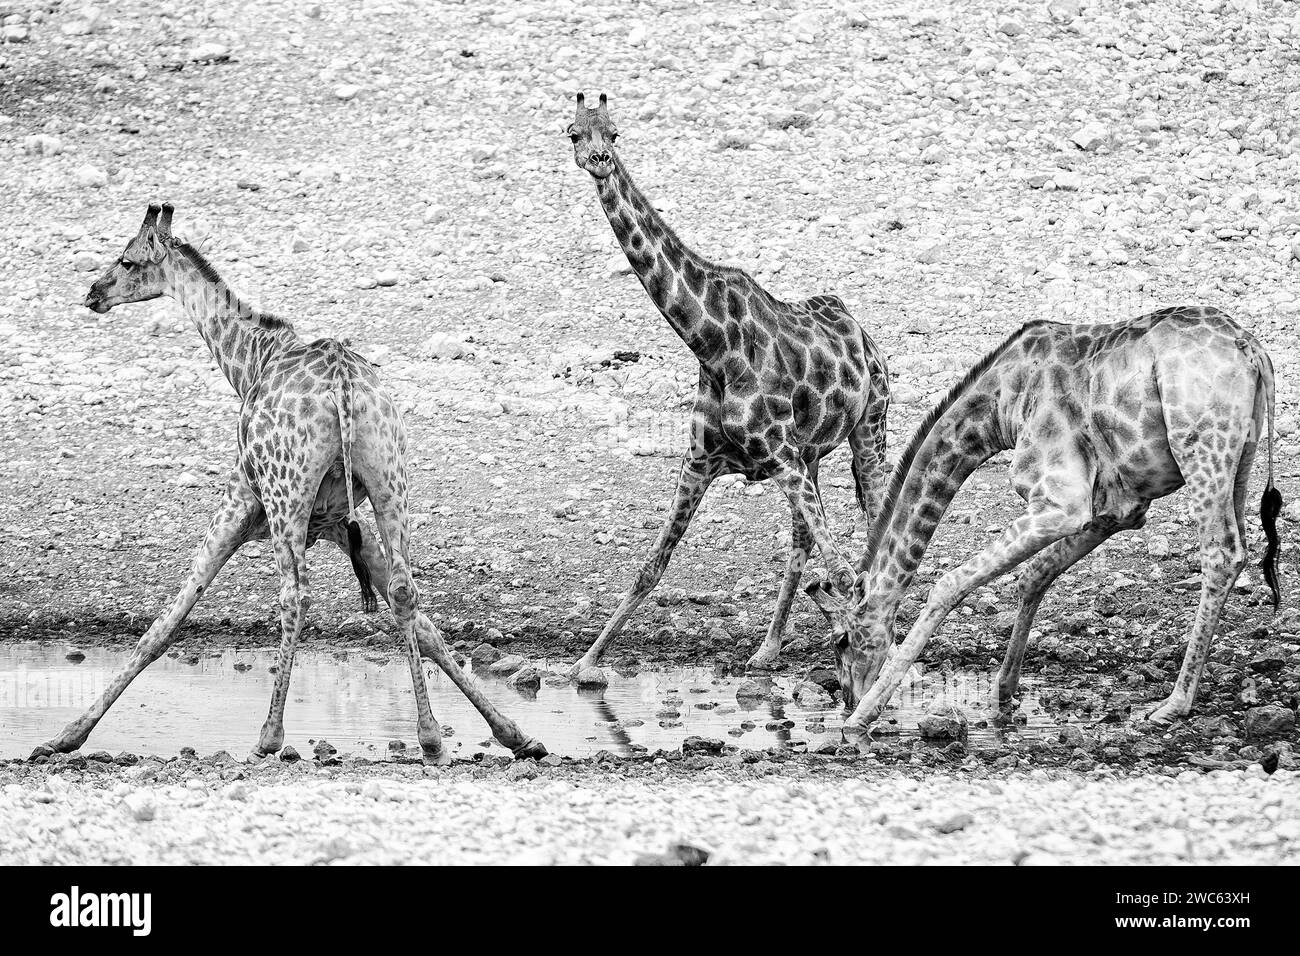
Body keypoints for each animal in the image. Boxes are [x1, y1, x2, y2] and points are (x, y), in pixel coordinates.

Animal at [37, 203, 546, 762]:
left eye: (127, 260)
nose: (93, 294)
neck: (250, 360)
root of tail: (343, 384)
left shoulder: (241, 503)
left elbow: (166, 623)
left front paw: (66, 736)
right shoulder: (336, 523)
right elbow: (423, 623)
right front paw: (512, 733)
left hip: (287, 498)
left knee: (293, 597)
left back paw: (269, 734)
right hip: (390, 481)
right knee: (406, 589)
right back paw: (430, 735)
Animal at [566, 92, 890, 674]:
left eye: (616, 132)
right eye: (572, 133)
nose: (599, 160)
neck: (711, 347)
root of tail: (864, 334)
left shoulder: (780, 457)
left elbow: (842, 567)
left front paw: (861, 652)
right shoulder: (701, 462)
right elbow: (651, 565)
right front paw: (584, 663)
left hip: (867, 430)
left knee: (870, 525)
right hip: (810, 456)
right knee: (802, 542)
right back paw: (767, 649)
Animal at [806, 306, 1281, 731]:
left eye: (841, 640)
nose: (847, 700)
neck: (1001, 406)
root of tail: (1253, 350)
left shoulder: (1062, 503)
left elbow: (949, 584)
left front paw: (865, 718)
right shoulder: (1115, 509)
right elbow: (1035, 575)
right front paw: (1002, 691)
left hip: (1200, 447)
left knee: (1221, 554)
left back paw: (1173, 704)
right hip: (1241, 456)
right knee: (1237, 549)